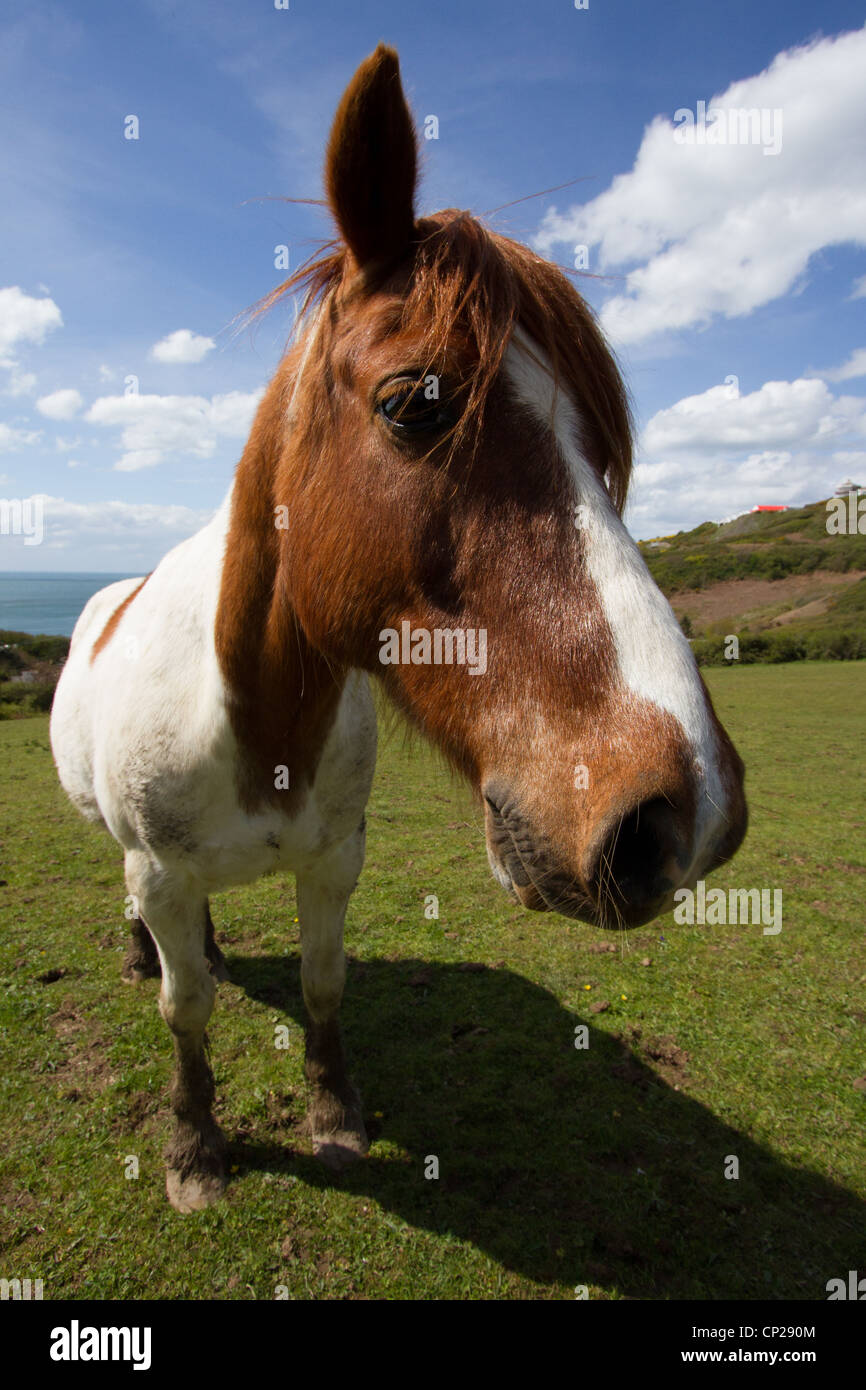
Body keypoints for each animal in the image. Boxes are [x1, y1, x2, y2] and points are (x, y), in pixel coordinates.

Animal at [50, 44, 747, 1213]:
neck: (253, 718)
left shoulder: (337, 859)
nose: (682, 816)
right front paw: (194, 1148)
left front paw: (335, 1117)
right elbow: (184, 1017)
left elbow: (324, 984)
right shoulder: (162, 869)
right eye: (416, 403)